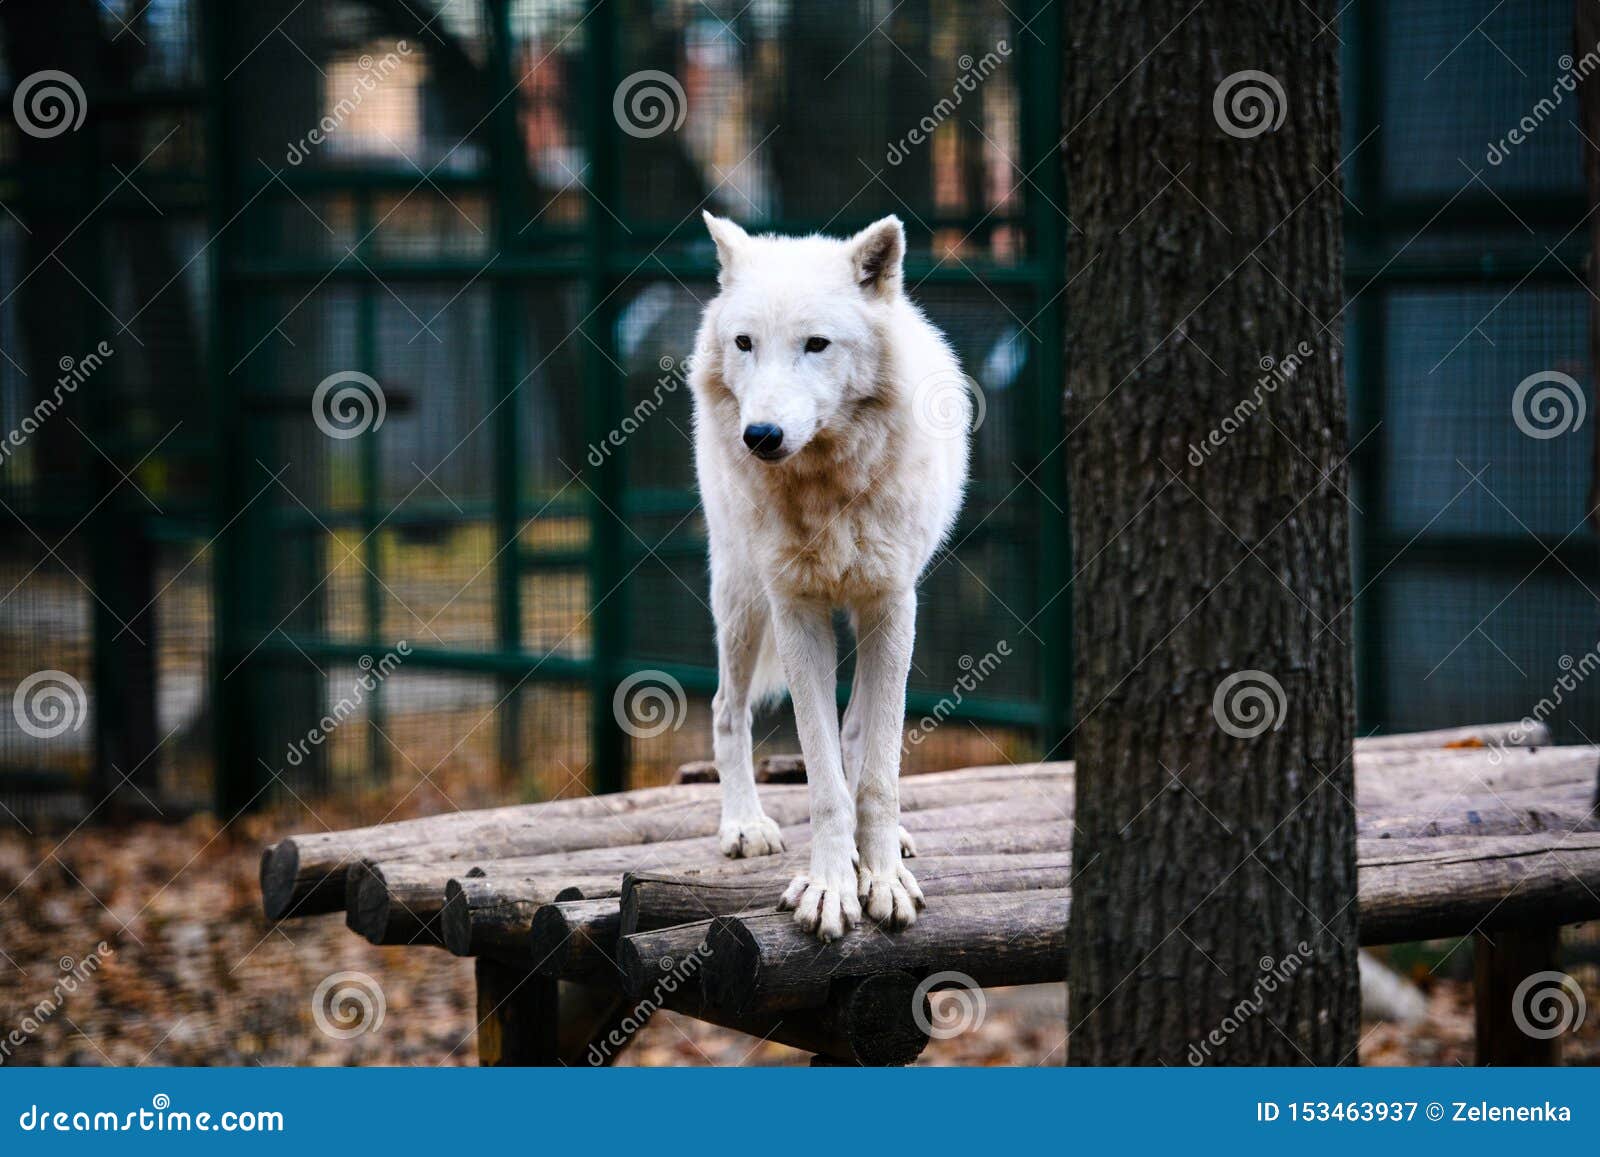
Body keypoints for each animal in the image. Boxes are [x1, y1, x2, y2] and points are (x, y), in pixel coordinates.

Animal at [688, 212, 971, 943]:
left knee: (856, 730)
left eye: (816, 345)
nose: (761, 434)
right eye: (746, 343)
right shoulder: (797, 611)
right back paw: (744, 825)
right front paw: (829, 888)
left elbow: (874, 774)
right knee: (726, 709)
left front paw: (881, 878)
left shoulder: (892, 606)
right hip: (740, 600)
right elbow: (822, 783)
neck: (826, 490)